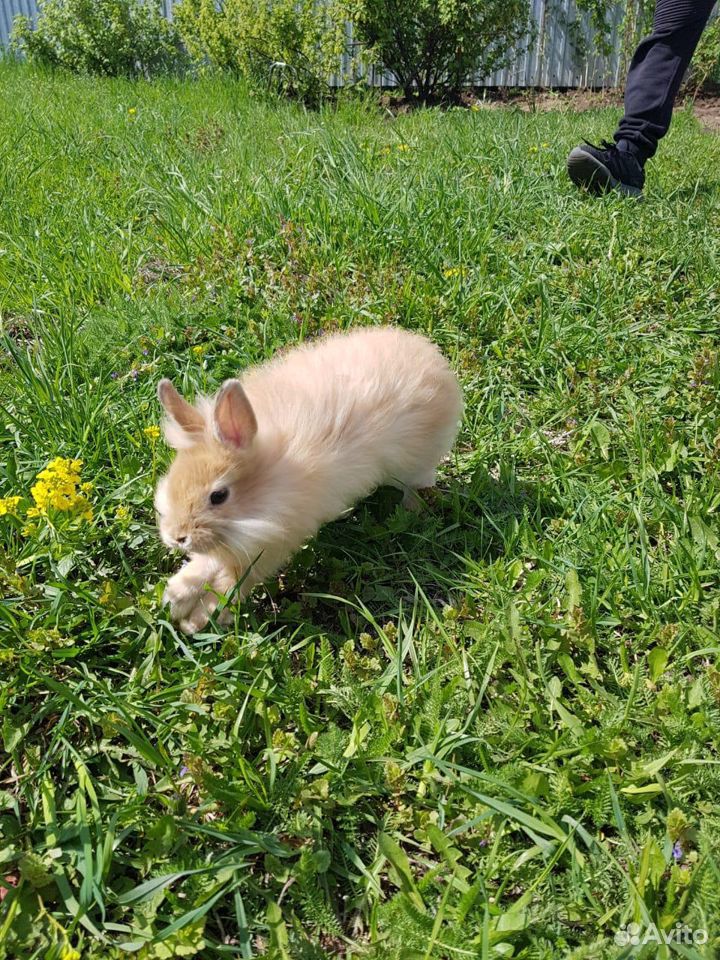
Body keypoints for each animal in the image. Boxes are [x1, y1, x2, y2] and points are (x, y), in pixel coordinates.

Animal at [155, 326, 463, 634]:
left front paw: (197, 620)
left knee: (419, 482)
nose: (176, 537)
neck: (271, 481)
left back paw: (410, 510)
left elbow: (232, 582)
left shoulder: (269, 547)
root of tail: (432, 357)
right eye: (173, 480)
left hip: (416, 464)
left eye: (219, 496)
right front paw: (176, 596)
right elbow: (206, 565)